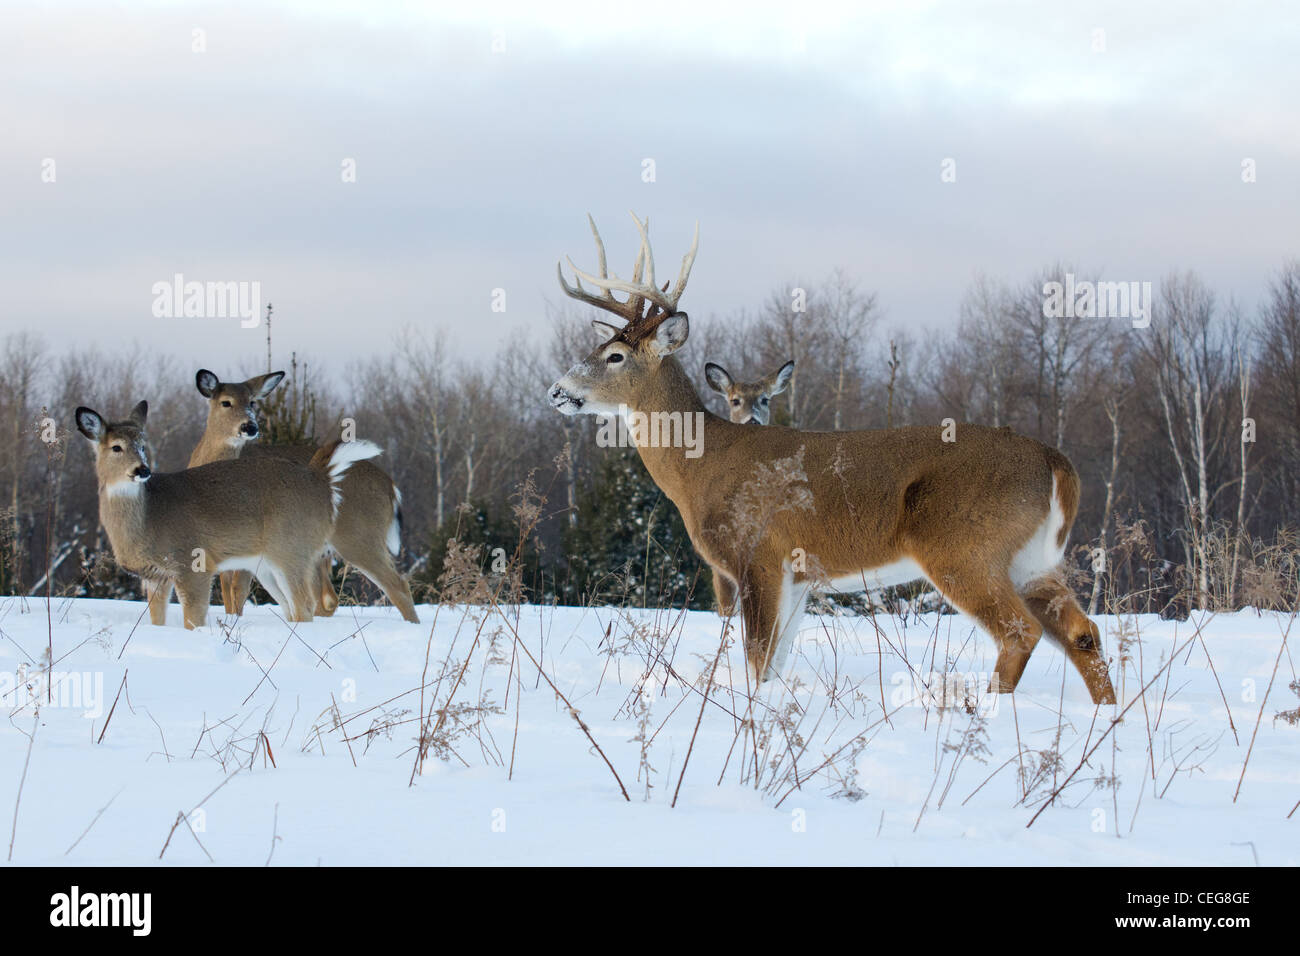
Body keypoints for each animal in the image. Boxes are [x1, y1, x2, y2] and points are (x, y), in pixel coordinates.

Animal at [75, 401, 380, 629]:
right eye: (116, 447)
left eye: (141, 444)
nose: (142, 470)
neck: (149, 519)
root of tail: (321, 480)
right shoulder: (155, 576)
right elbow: (157, 621)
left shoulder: (194, 563)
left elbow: (193, 621)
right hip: (269, 565)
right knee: (294, 607)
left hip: (292, 549)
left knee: (306, 606)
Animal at [185, 369, 420, 624]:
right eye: (226, 402)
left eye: (252, 402)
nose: (250, 426)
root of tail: (390, 485)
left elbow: (237, 592)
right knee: (328, 598)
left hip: (358, 535)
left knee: (394, 585)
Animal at [548, 212, 1116, 704]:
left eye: (615, 356)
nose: (556, 391)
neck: (698, 467)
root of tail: (1056, 462)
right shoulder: (800, 578)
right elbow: (773, 665)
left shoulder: (759, 555)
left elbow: (755, 658)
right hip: (1033, 560)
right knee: (1082, 632)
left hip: (965, 548)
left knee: (1021, 632)